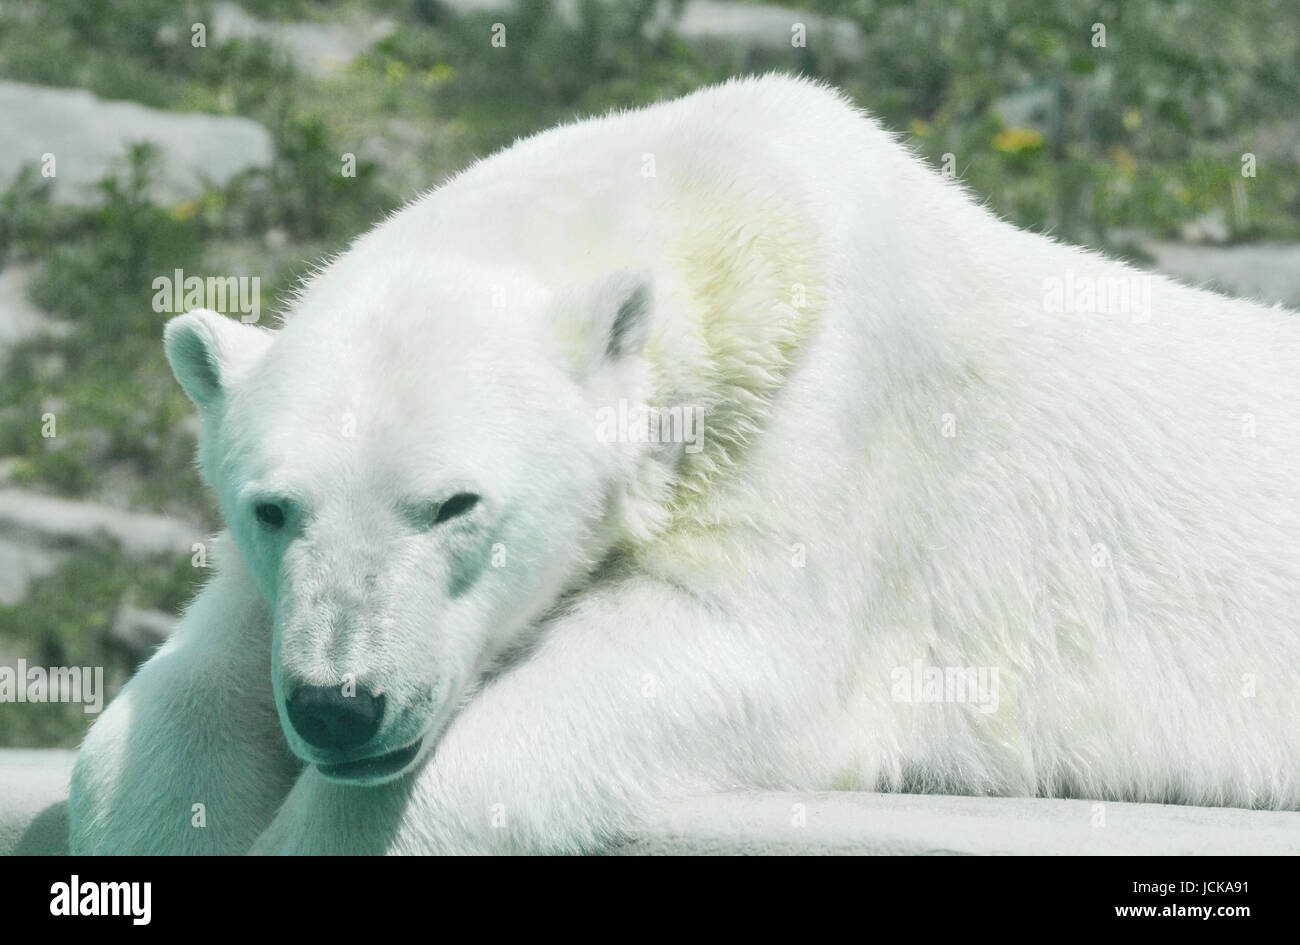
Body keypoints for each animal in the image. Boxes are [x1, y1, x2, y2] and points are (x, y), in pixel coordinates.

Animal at [69, 75, 1300, 855]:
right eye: (273, 508)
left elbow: (717, 649)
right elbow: (174, 702)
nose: (339, 706)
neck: (730, 214)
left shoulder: (821, 434)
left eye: (455, 504)